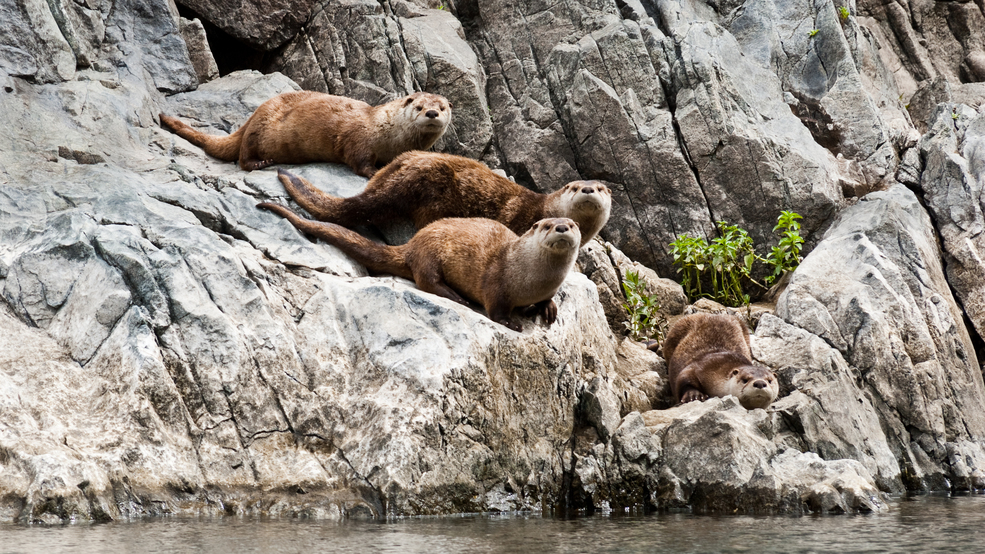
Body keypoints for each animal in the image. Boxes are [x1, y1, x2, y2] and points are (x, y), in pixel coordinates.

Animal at [159, 91, 451, 175]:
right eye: (419, 106)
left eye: (443, 107)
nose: (431, 113)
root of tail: (253, 114)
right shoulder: (359, 137)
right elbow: (358, 160)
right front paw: (374, 171)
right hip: (257, 130)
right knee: (242, 158)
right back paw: (261, 163)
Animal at [257, 202, 581, 331]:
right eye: (547, 225)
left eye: (573, 224)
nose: (562, 227)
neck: (532, 279)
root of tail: (413, 242)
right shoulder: (497, 282)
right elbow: (495, 309)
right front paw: (512, 322)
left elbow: (547, 299)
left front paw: (549, 308)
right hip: (430, 254)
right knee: (426, 281)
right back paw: (456, 296)